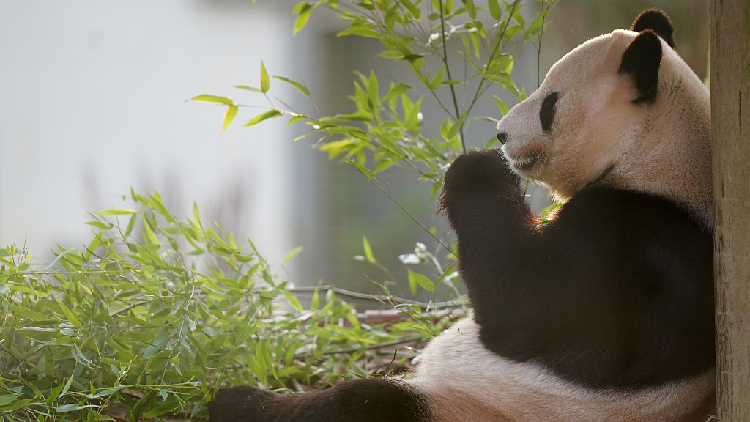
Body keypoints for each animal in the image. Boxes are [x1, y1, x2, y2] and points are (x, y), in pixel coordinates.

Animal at [208, 9, 715, 422]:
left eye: (550, 104)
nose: (502, 133)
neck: (655, 153)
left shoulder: (635, 238)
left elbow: (526, 305)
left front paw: (476, 168)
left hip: (474, 409)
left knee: (364, 406)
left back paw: (236, 401)